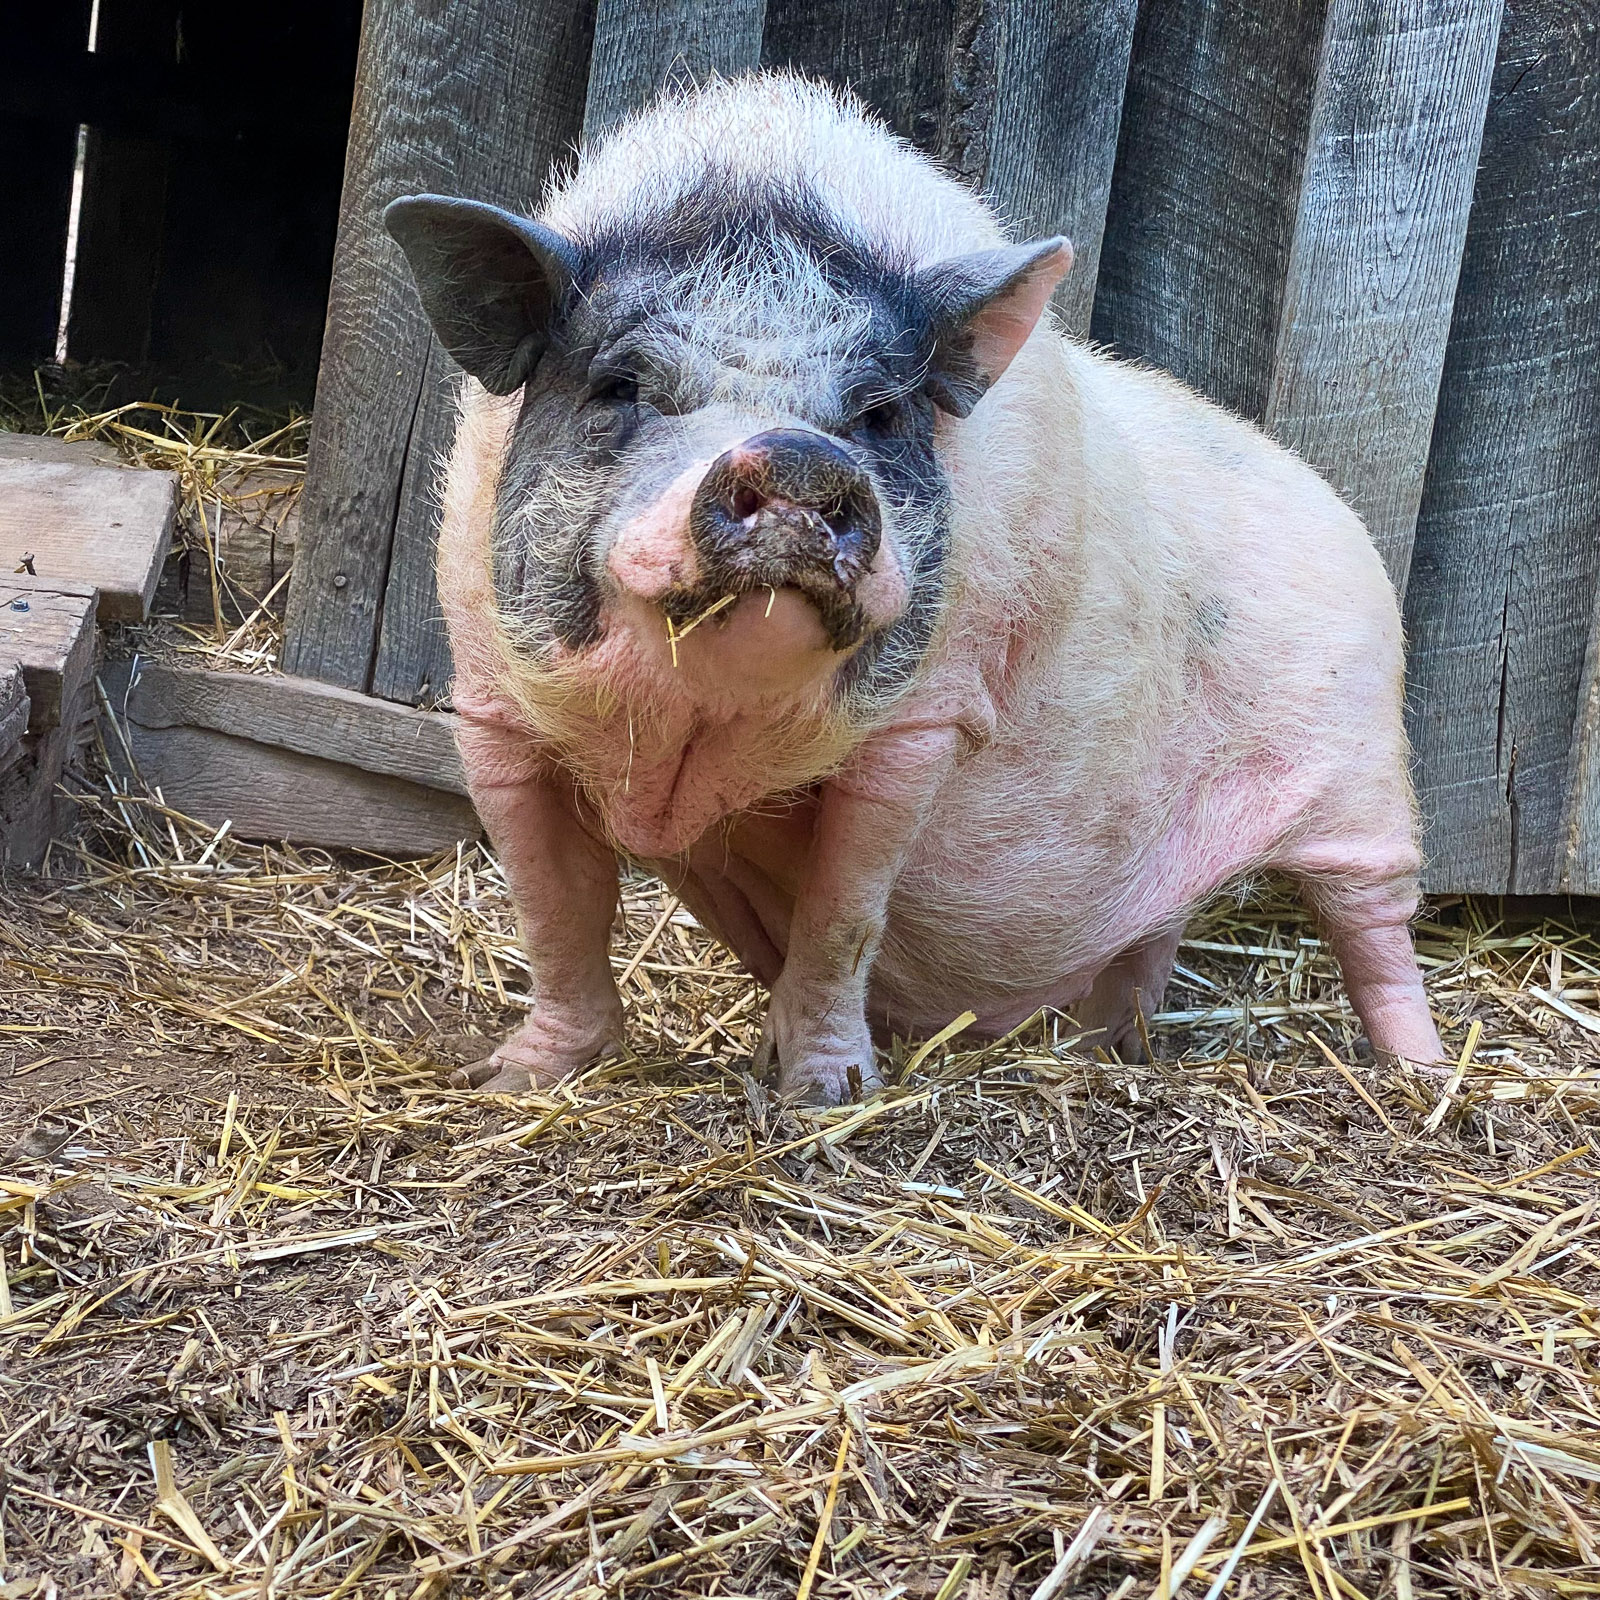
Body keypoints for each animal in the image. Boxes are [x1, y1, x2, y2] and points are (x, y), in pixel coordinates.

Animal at [383, 73, 1445, 1104]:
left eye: (879, 414)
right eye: (619, 387)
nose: (799, 458)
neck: (703, 734)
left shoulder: (920, 725)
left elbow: (843, 916)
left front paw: (825, 1095)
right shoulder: (490, 712)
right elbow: (555, 912)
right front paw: (510, 1082)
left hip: (1366, 786)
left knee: (1376, 928)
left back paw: (1419, 1076)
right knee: (1153, 936)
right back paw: (1115, 1054)